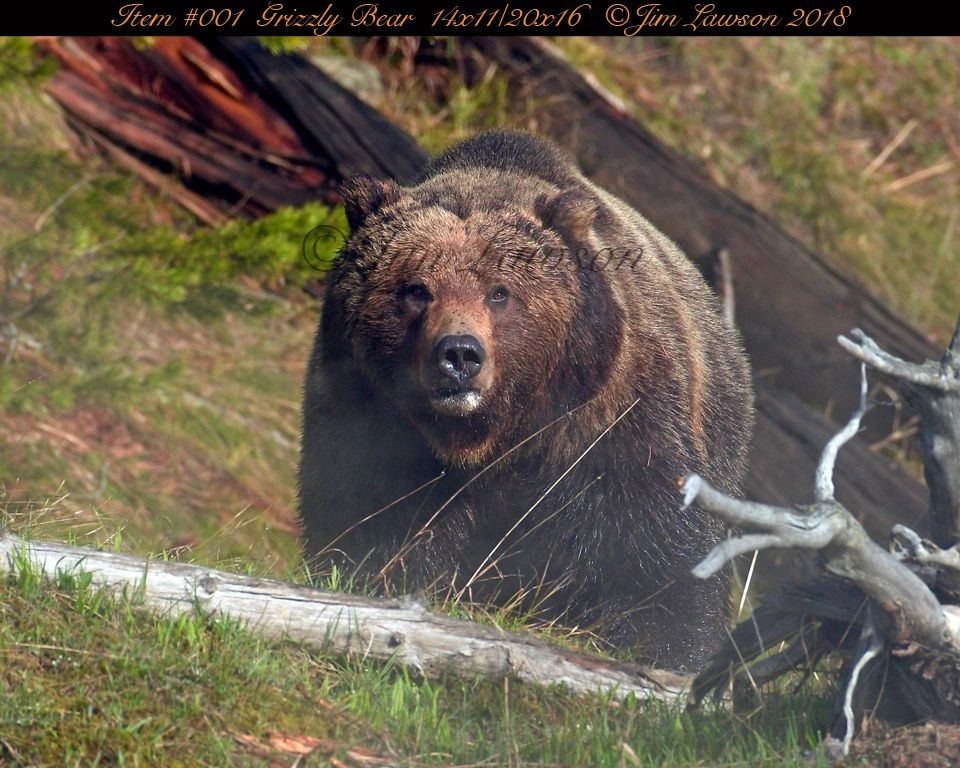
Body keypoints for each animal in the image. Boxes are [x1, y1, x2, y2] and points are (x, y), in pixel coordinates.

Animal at [298, 130, 754, 671]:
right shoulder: (366, 420)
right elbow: (370, 520)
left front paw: (667, 650)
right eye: (415, 289)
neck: (493, 438)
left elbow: (655, 556)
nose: (459, 354)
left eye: (500, 292)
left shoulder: (612, 428)